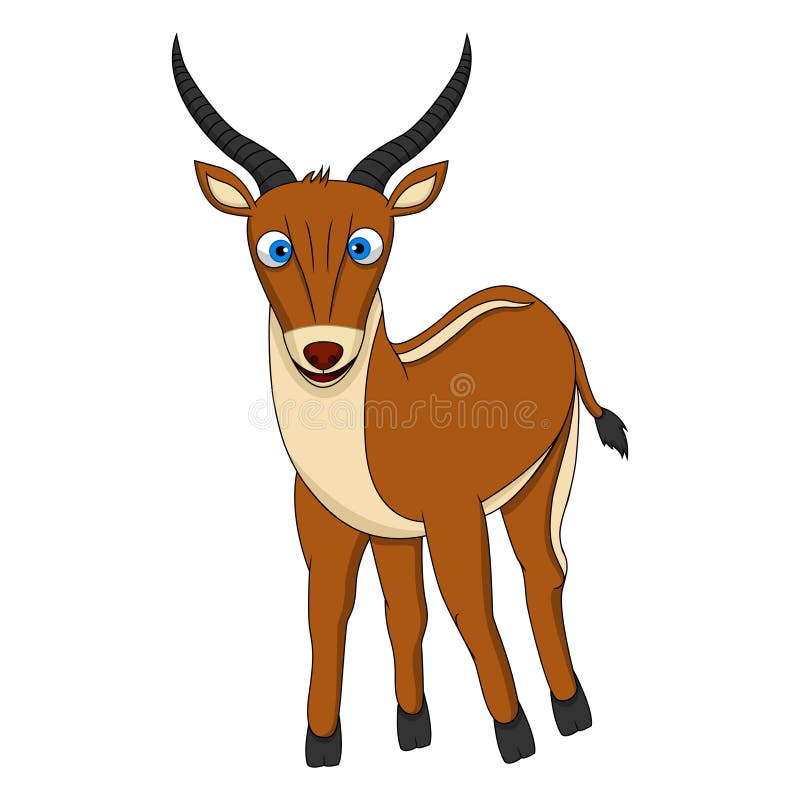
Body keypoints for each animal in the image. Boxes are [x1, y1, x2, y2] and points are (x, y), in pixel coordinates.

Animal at [172, 33, 628, 767]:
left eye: (367, 243)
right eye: (272, 245)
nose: (323, 354)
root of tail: (535, 305)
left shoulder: (452, 517)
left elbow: (469, 604)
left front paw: (514, 737)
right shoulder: (342, 528)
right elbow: (344, 612)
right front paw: (344, 739)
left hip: (545, 477)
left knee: (543, 573)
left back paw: (570, 711)